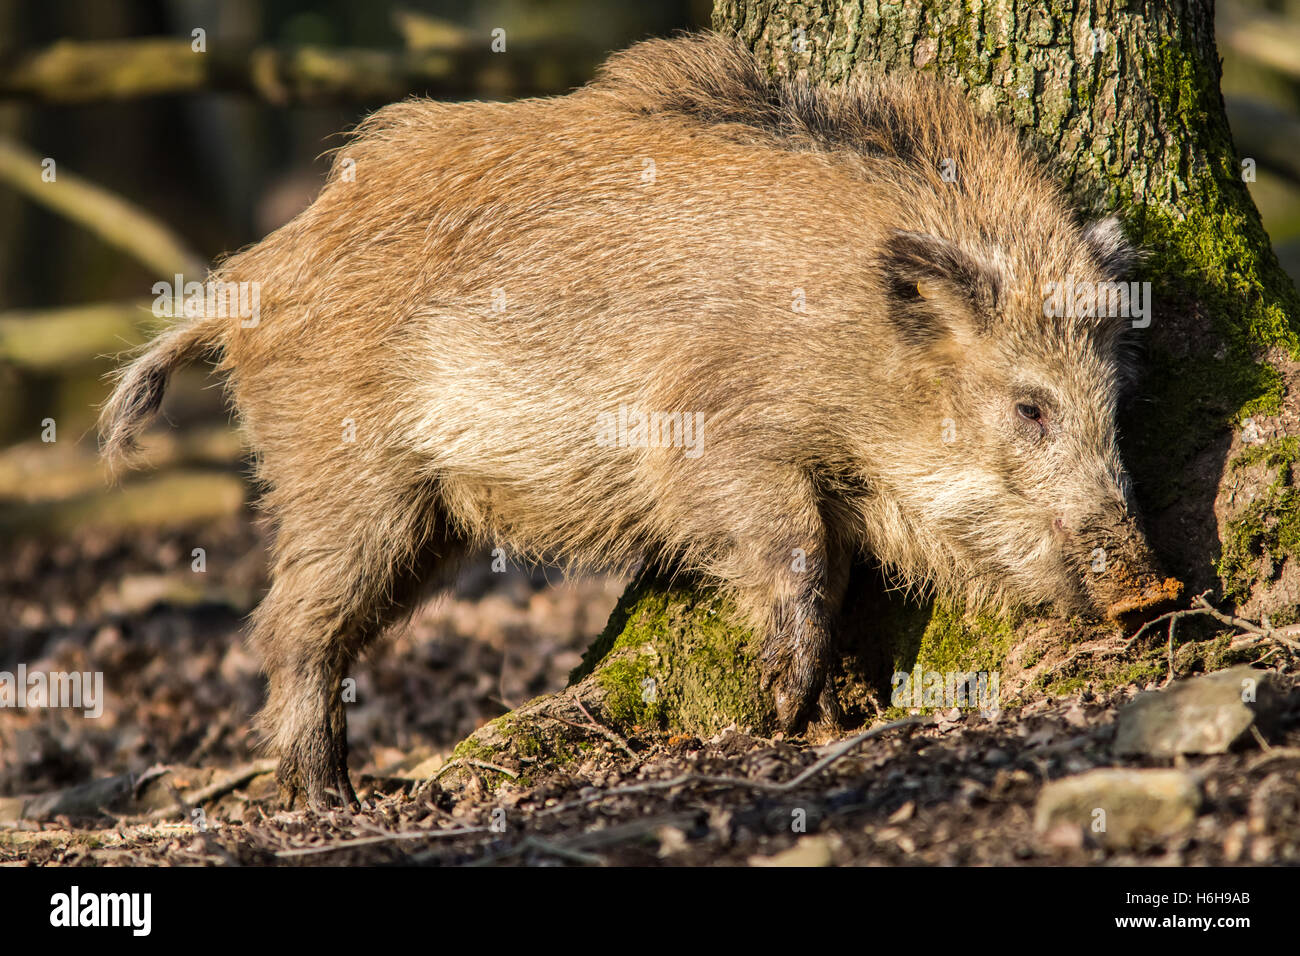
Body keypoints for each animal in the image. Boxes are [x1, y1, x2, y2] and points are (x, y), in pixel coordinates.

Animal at [100, 32, 1178, 808]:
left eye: (1114, 402)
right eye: (1029, 405)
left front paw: (828, 712)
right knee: (289, 623)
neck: (858, 356)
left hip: (422, 515)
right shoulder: (713, 432)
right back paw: (330, 802)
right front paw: (785, 708)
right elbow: (797, 551)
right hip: (343, 469)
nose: (1153, 590)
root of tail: (246, 283)